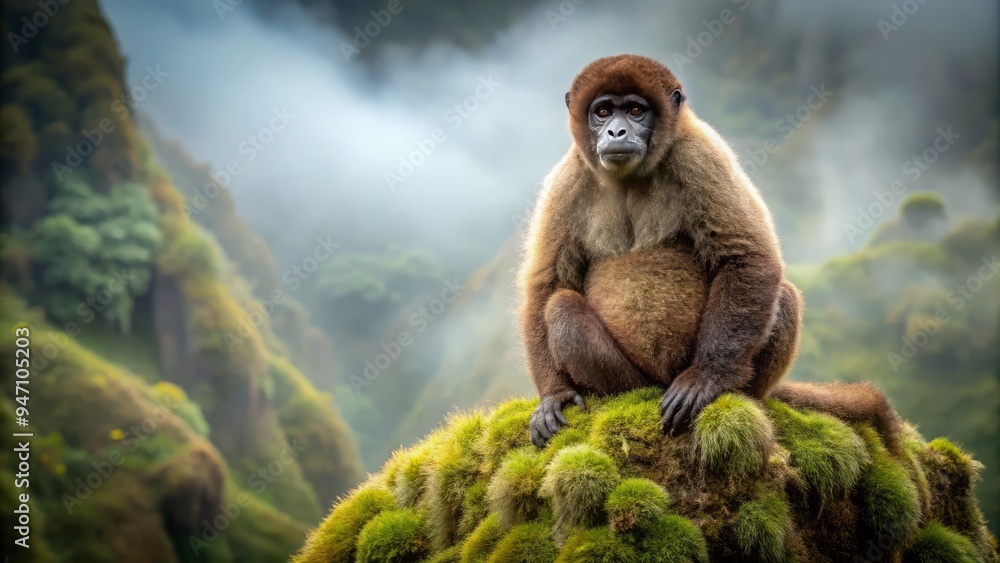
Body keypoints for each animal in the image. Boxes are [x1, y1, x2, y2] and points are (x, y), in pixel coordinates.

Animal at [518, 54, 903, 454]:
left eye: (636, 110)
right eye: (603, 111)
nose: (616, 132)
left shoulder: (701, 153)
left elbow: (747, 256)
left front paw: (707, 378)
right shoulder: (567, 179)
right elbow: (547, 284)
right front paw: (556, 393)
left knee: (782, 295)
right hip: (636, 378)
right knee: (561, 307)